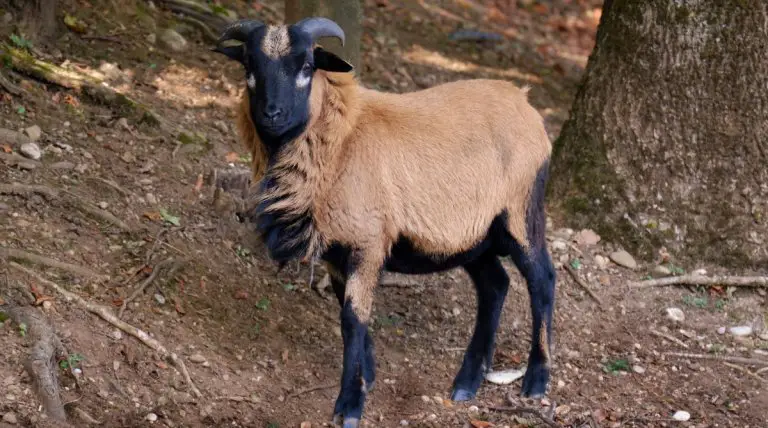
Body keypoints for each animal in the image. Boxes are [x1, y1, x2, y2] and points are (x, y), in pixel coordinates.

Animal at [213, 17, 556, 428]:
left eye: (307, 66)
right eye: (249, 66)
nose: (272, 114)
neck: (341, 140)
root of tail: (524, 100)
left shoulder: (368, 241)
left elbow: (352, 318)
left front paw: (350, 403)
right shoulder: (337, 249)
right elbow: (348, 313)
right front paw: (368, 375)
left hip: (521, 210)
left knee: (542, 281)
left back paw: (536, 380)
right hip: (473, 236)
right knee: (495, 285)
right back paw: (467, 382)